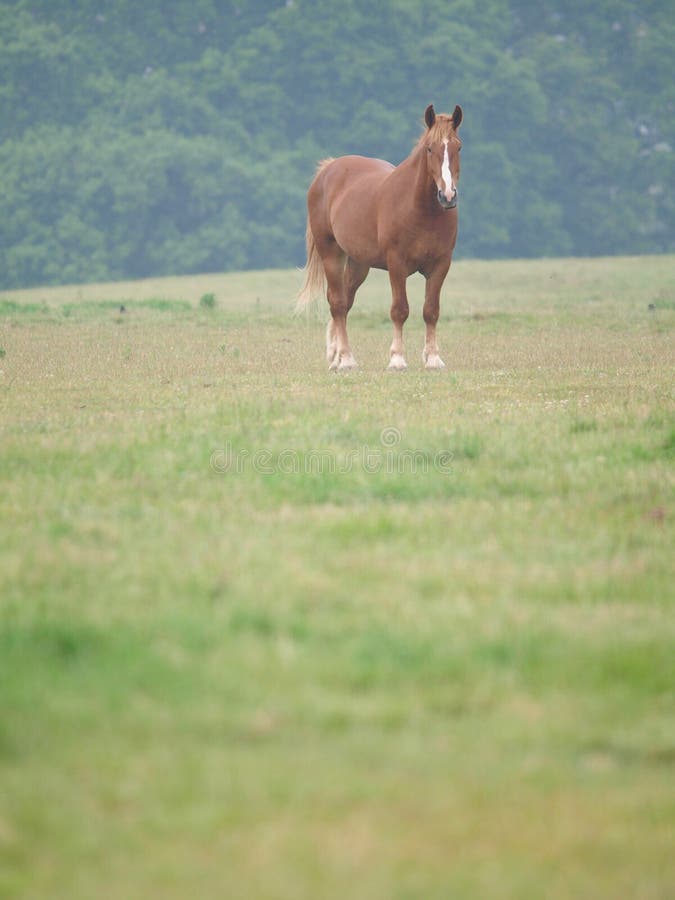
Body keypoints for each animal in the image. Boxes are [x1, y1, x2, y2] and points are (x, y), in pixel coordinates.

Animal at [296, 103, 463, 371]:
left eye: (458, 147)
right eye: (429, 148)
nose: (447, 196)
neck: (421, 210)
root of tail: (328, 169)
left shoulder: (441, 265)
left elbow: (431, 310)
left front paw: (433, 358)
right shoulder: (397, 264)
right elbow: (399, 310)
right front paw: (397, 359)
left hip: (358, 264)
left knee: (345, 302)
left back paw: (336, 356)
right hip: (331, 254)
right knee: (337, 303)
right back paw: (346, 359)